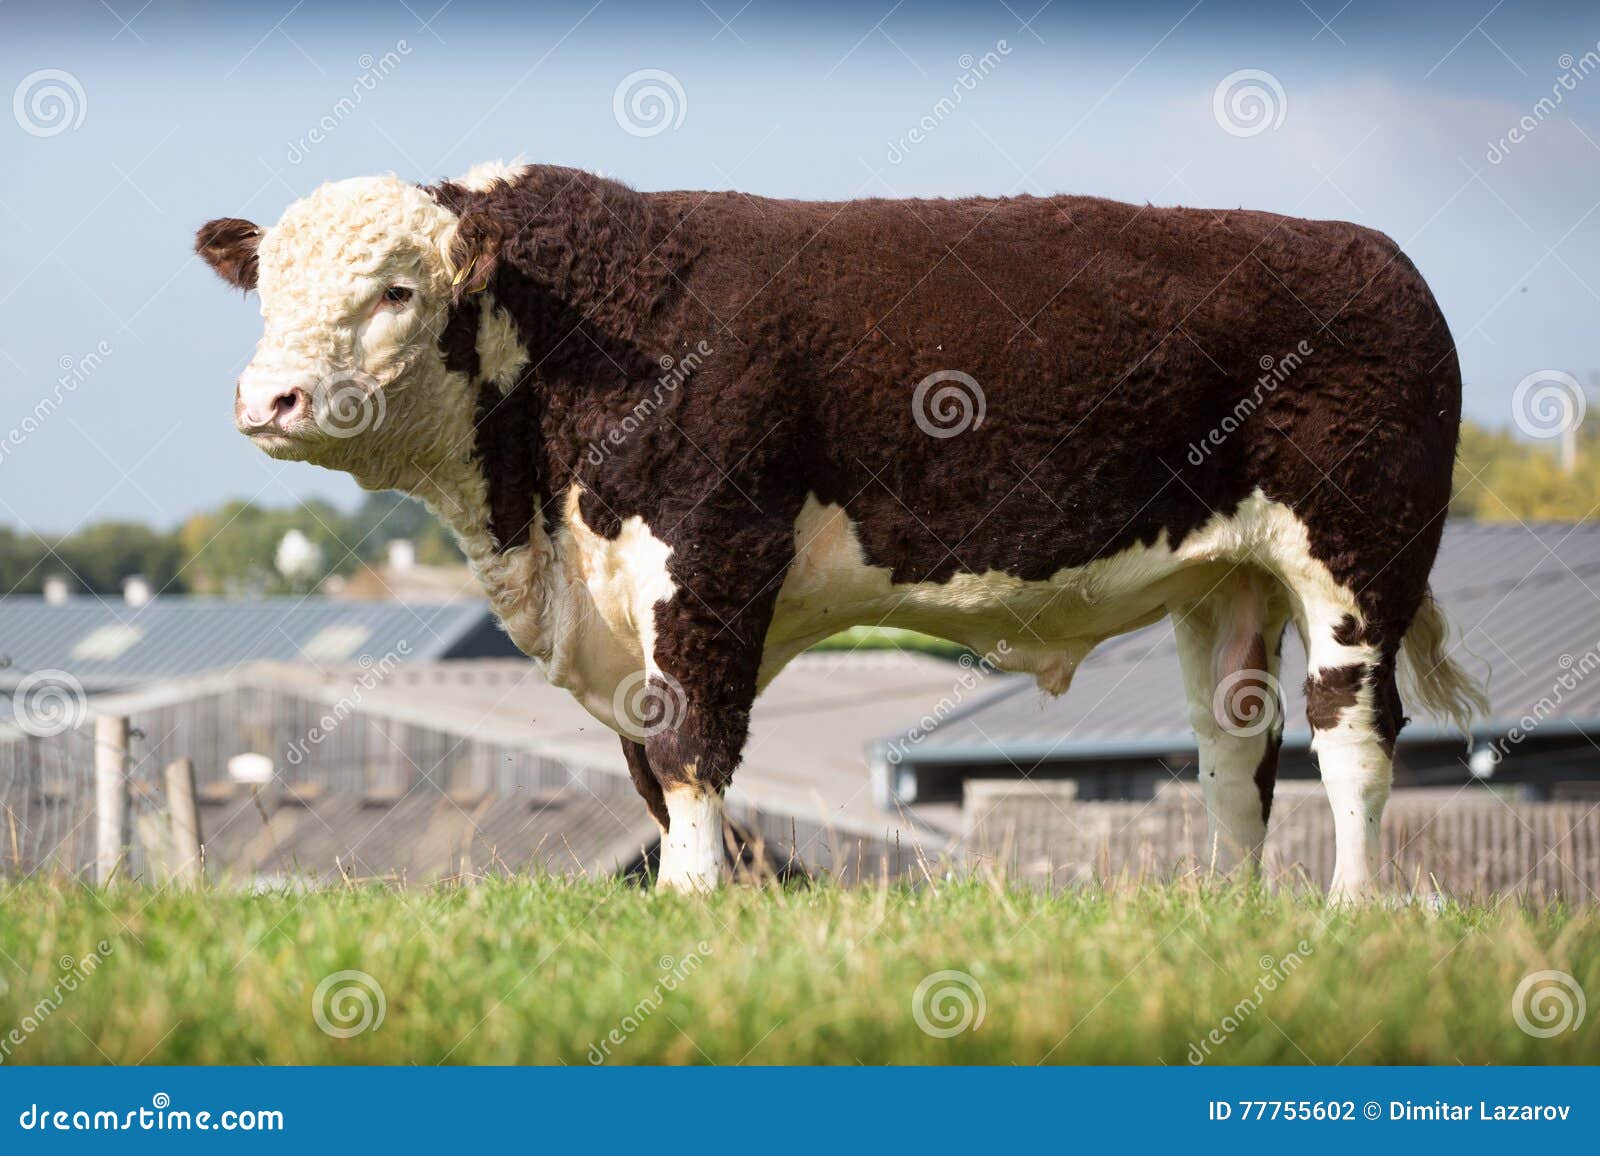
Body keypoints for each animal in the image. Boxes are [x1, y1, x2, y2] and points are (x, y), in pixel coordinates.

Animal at [196, 161, 1486, 897]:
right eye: (266, 294)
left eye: (396, 290)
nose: (266, 398)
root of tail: (1373, 254)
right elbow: (650, 766)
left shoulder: (711, 555)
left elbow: (688, 746)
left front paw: (692, 907)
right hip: (1229, 577)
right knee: (1232, 748)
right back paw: (1224, 917)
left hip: (1358, 551)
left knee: (1350, 735)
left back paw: (1345, 916)